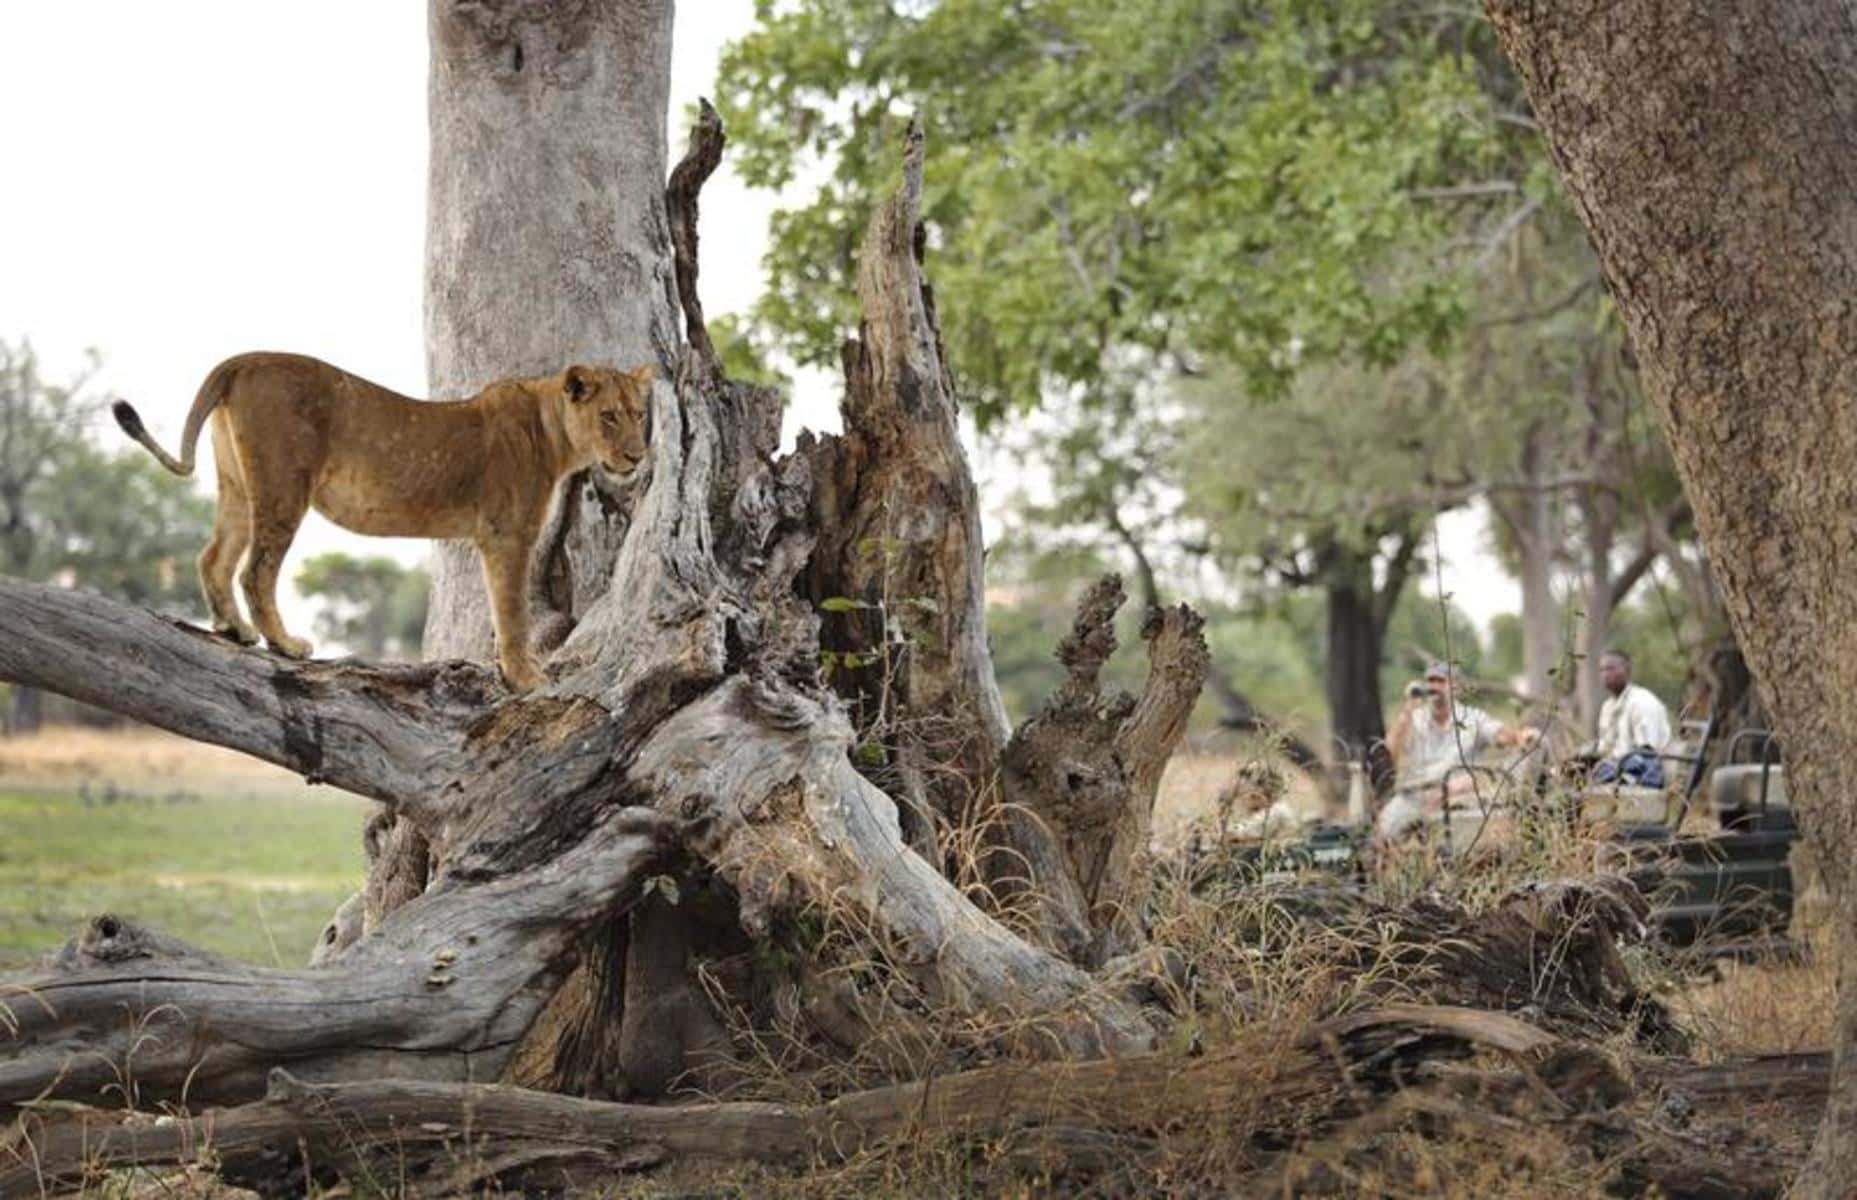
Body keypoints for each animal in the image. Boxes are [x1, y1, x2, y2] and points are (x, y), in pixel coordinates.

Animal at [112, 351, 652, 691]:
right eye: (608, 416)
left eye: (639, 414)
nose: (637, 456)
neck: (553, 432)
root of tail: (242, 360)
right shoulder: (507, 536)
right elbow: (513, 614)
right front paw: (525, 679)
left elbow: (502, 613)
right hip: (283, 485)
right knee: (255, 569)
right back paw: (285, 644)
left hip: (239, 485)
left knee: (213, 557)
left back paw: (233, 629)